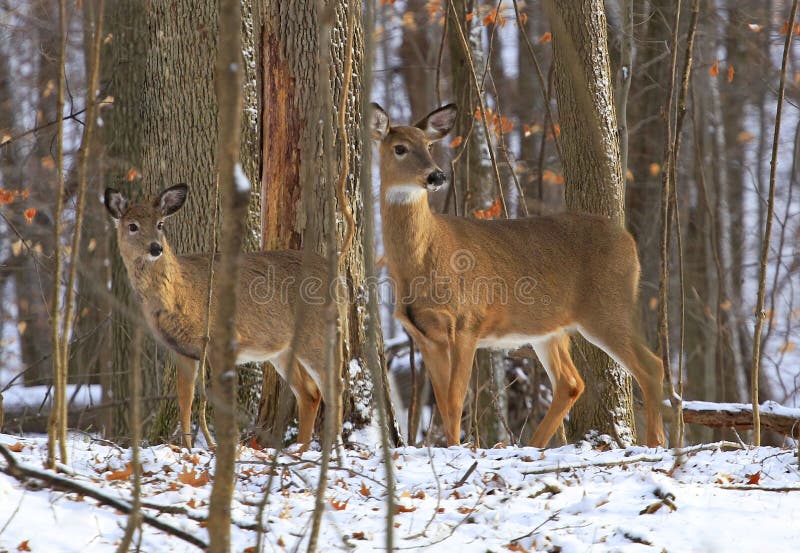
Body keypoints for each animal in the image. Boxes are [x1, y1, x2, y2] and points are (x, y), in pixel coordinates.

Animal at [104, 183, 330, 446]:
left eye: (160, 224)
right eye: (132, 226)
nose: (155, 248)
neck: (181, 295)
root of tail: (340, 280)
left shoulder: (220, 341)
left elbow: (222, 402)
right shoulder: (182, 351)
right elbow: (185, 399)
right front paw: (188, 447)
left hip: (316, 334)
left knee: (333, 386)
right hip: (281, 350)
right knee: (310, 393)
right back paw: (301, 449)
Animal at [372, 104, 664, 448]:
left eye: (429, 146)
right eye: (399, 148)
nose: (436, 175)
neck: (423, 259)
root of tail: (628, 240)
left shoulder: (467, 321)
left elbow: (456, 400)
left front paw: (455, 449)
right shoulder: (424, 335)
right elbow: (444, 402)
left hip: (607, 308)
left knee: (652, 366)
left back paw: (656, 443)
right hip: (550, 329)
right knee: (571, 382)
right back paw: (534, 446)